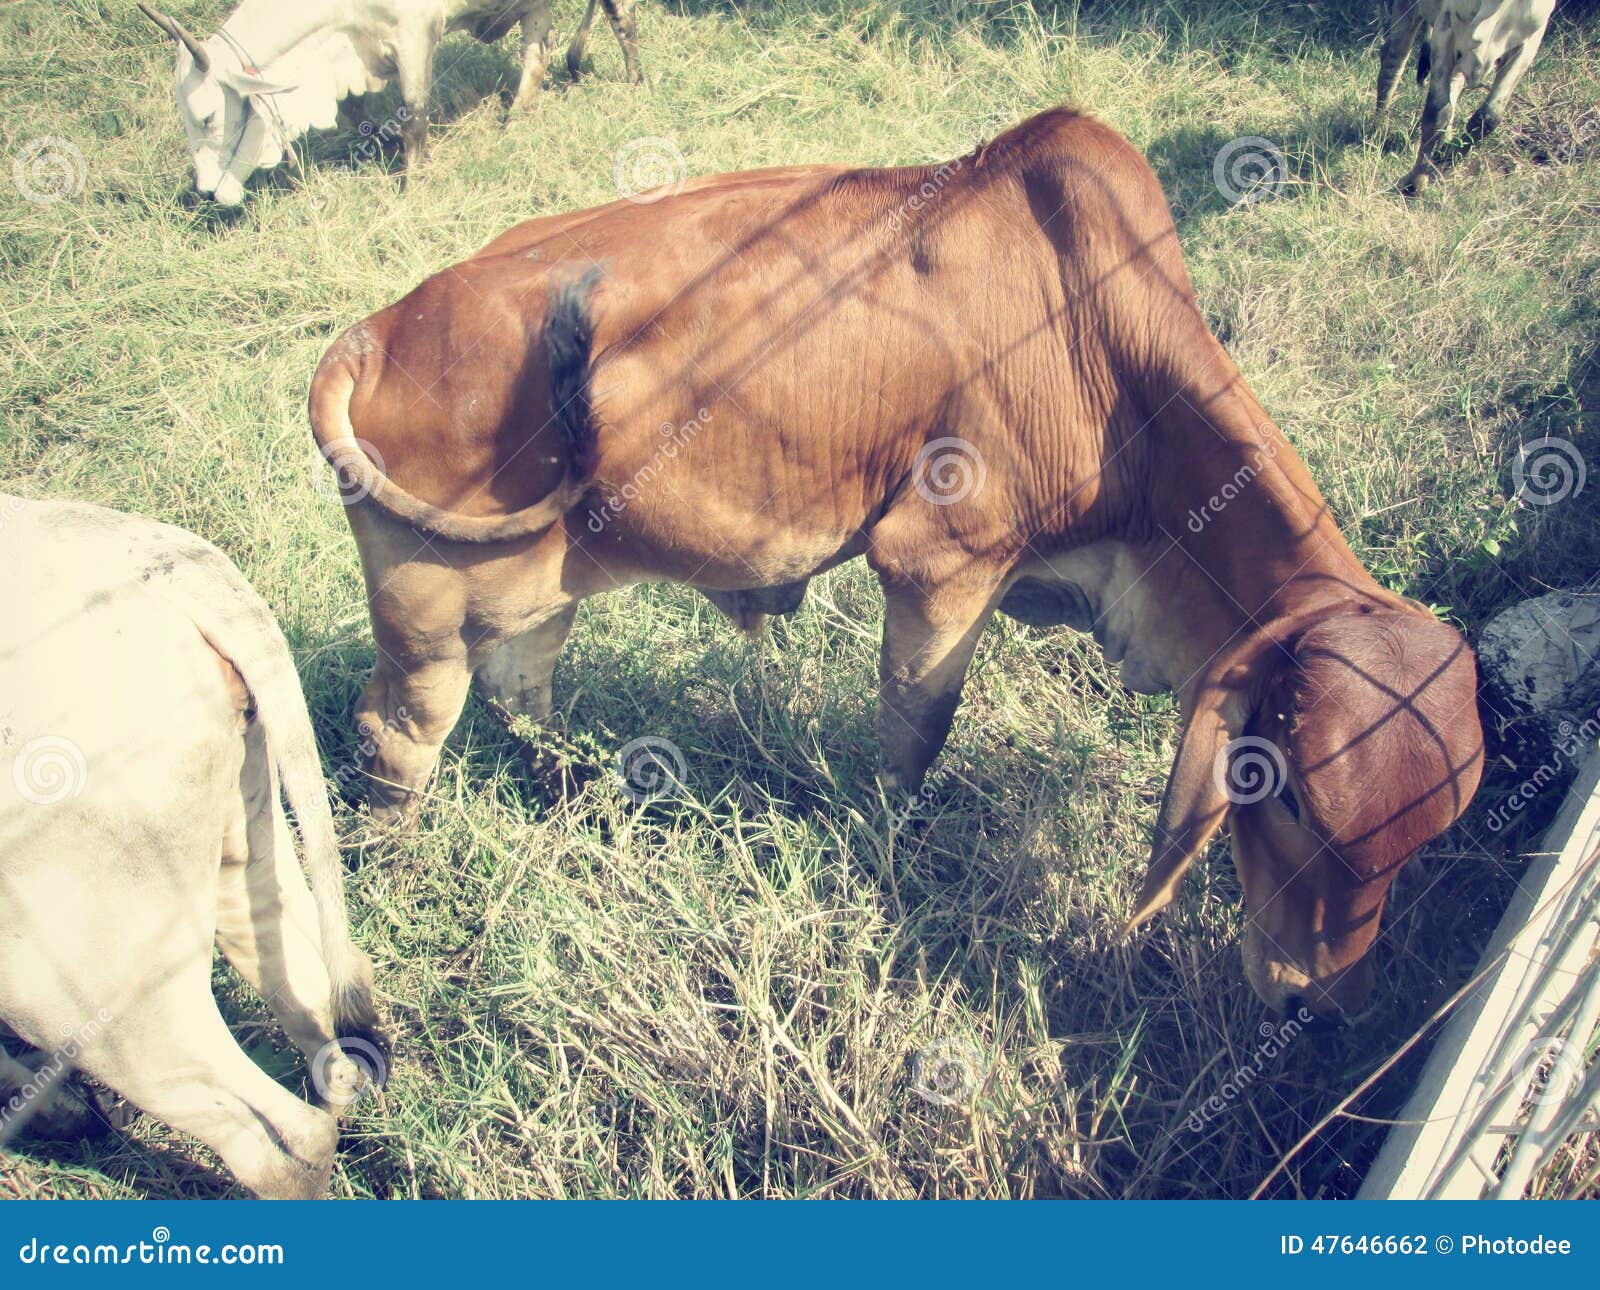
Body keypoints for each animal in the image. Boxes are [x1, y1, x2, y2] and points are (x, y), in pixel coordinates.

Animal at [138, 0, 642, 206]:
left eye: (207, 117)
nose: (206, 191)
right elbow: (356, 113)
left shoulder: (416, 33)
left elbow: (414, 114)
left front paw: (412, 184)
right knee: (536, 57)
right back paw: (515, 118)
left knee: (622, 17)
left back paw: (636, 79)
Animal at [309, 107, 1486, 1024]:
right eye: (1287, 801)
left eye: (1429, 833)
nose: (1315, 1000)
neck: (1107, 358)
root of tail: (374, 329)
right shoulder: (942, 564)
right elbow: (914, 736)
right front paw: (884, 852)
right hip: (424, 611)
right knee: (397, 735)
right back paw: (393, 874)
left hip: (533, 584)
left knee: (522, 688)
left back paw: (580, 792)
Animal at [1376, 0, 1557, 195]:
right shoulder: (1446, 29)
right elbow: (1436, 113)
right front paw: (1416, 182)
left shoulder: (1528, 43)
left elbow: (1487, 118)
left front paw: (1444, 162)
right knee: (1393, 59)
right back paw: (1379, 125)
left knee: (1454, 85)